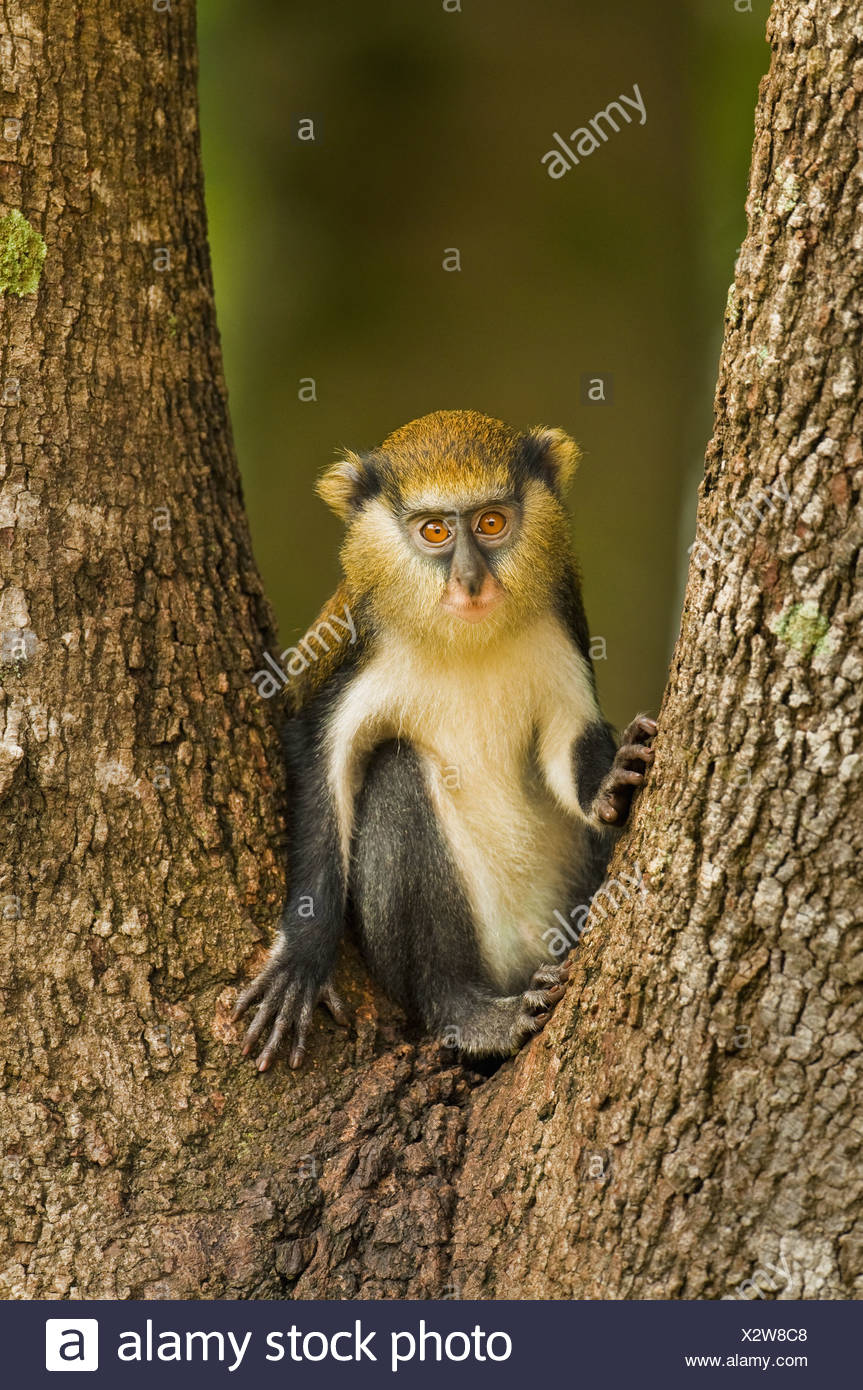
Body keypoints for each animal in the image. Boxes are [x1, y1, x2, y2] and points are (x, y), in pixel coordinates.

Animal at [234, 410, 656, 1071]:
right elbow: (317, 757)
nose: (470, 580)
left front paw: (610, 783)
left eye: (491, 523)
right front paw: (301, 957)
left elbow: (571, 735)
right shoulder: (354, 647)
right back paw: (469, 1011)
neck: (467, 640)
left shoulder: (563, 617)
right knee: (397, 775)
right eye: (433, 530)